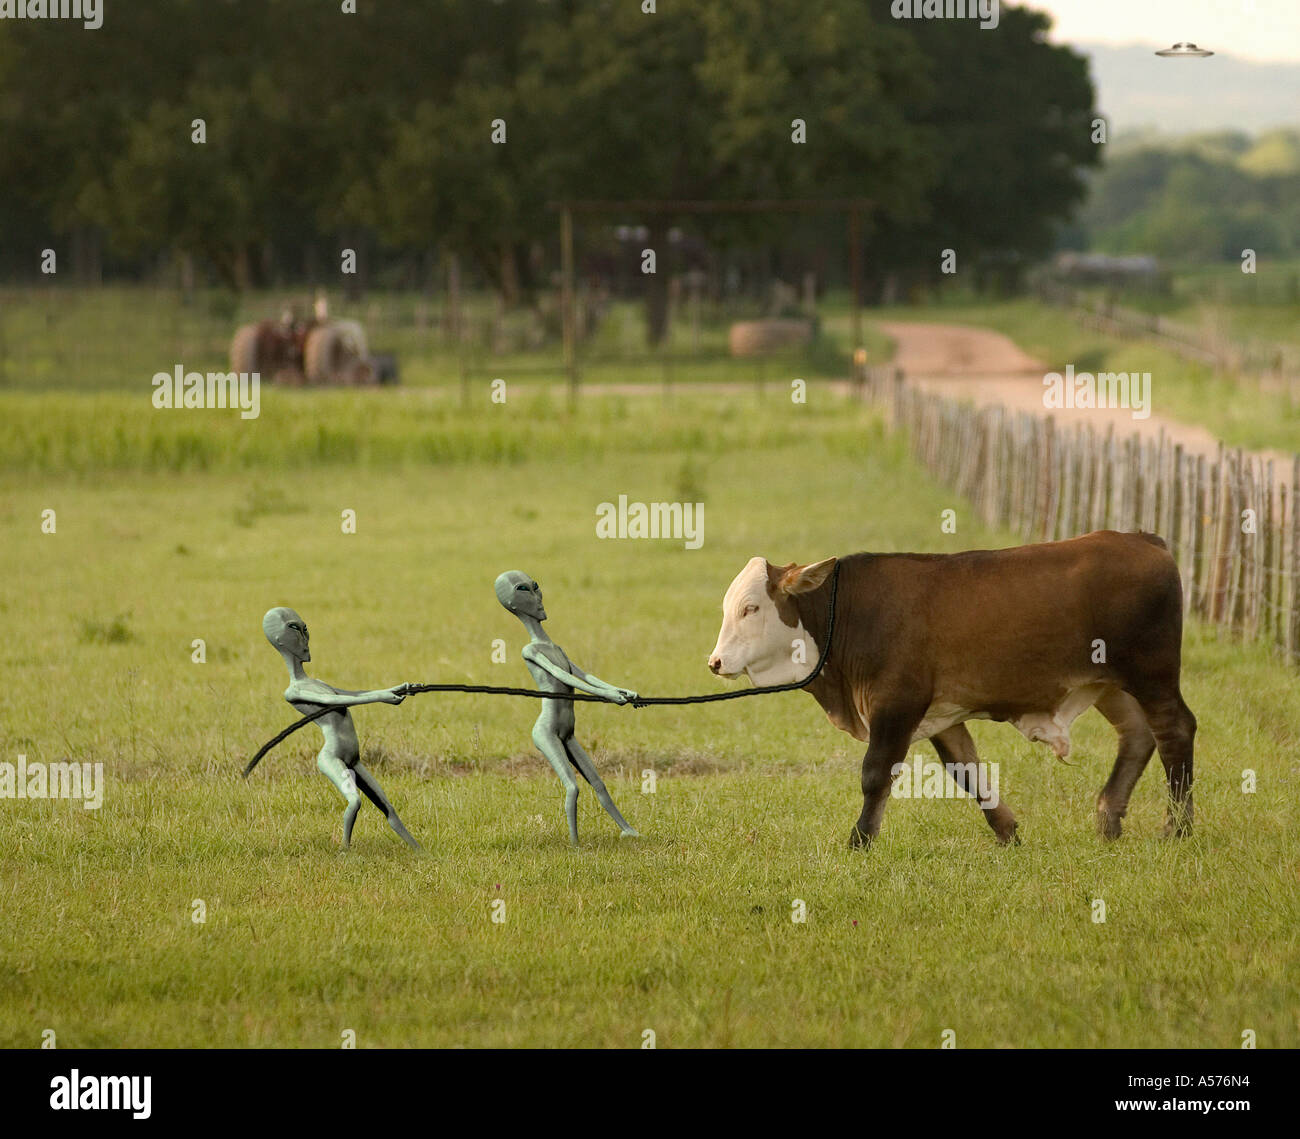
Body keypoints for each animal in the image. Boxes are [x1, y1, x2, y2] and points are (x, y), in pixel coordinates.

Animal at [712, 530, 1196, 847]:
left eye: (750, 608)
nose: (715, 662)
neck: (848, 612)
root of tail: (1145, 541)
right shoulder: (943, 715)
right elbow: (967, 771)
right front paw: (1007, 831)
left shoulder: (897, 704)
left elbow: (875, 773)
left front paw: (859, 840)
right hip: (1113, 686)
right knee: (1138, 736)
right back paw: (1109, 817)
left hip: (1151, 676)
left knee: (1175, 730)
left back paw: (1178, 828)